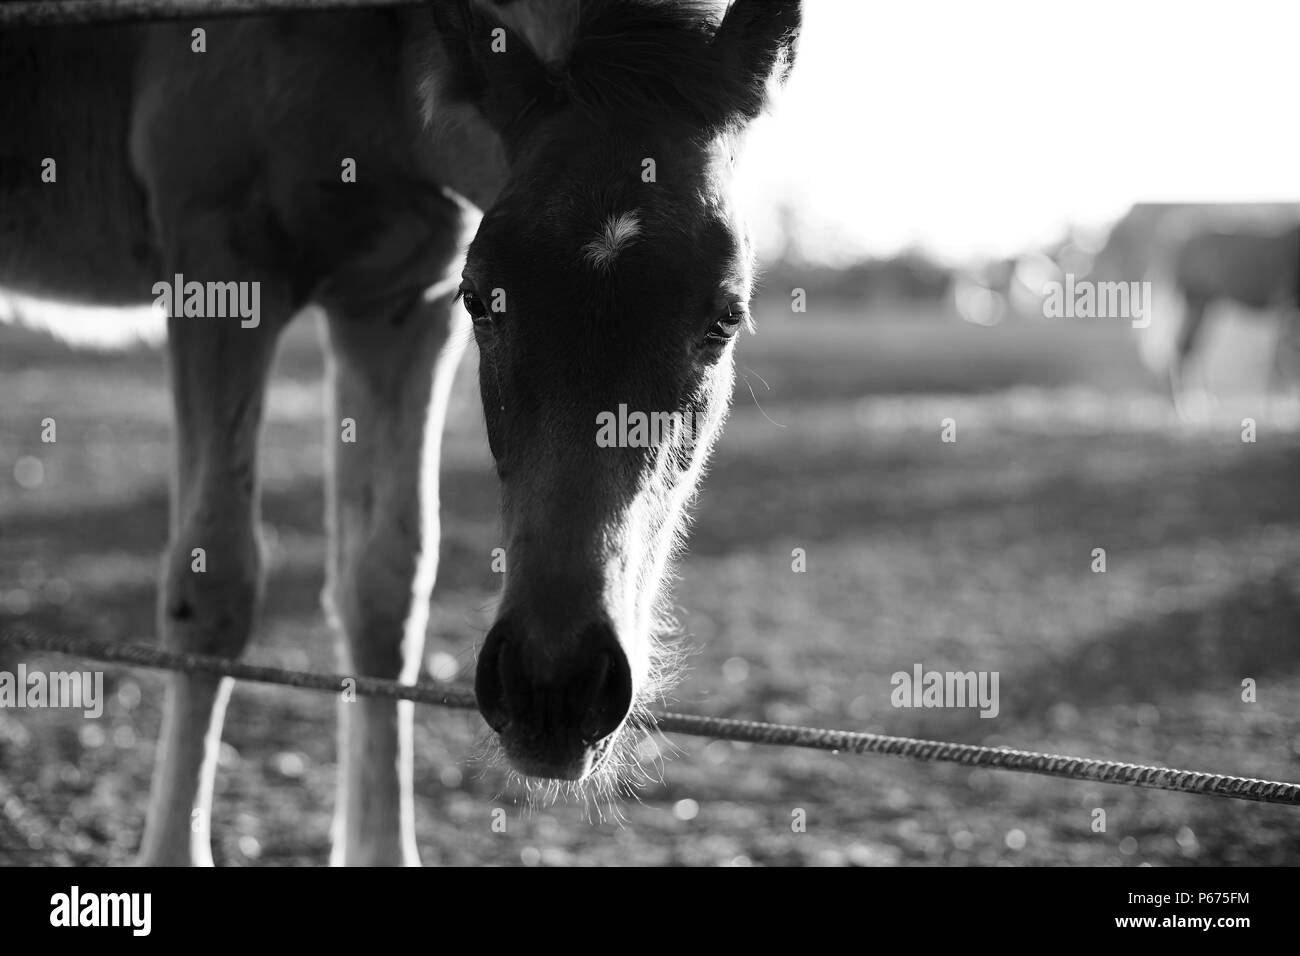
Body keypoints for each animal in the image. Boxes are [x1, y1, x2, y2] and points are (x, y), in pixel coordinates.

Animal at [0, 0, 802, 865]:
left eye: (725, 317)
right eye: (484, 299)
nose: (552, 686)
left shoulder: (396, 301)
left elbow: (384, 591)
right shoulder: (218, 253)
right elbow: (212, 586)